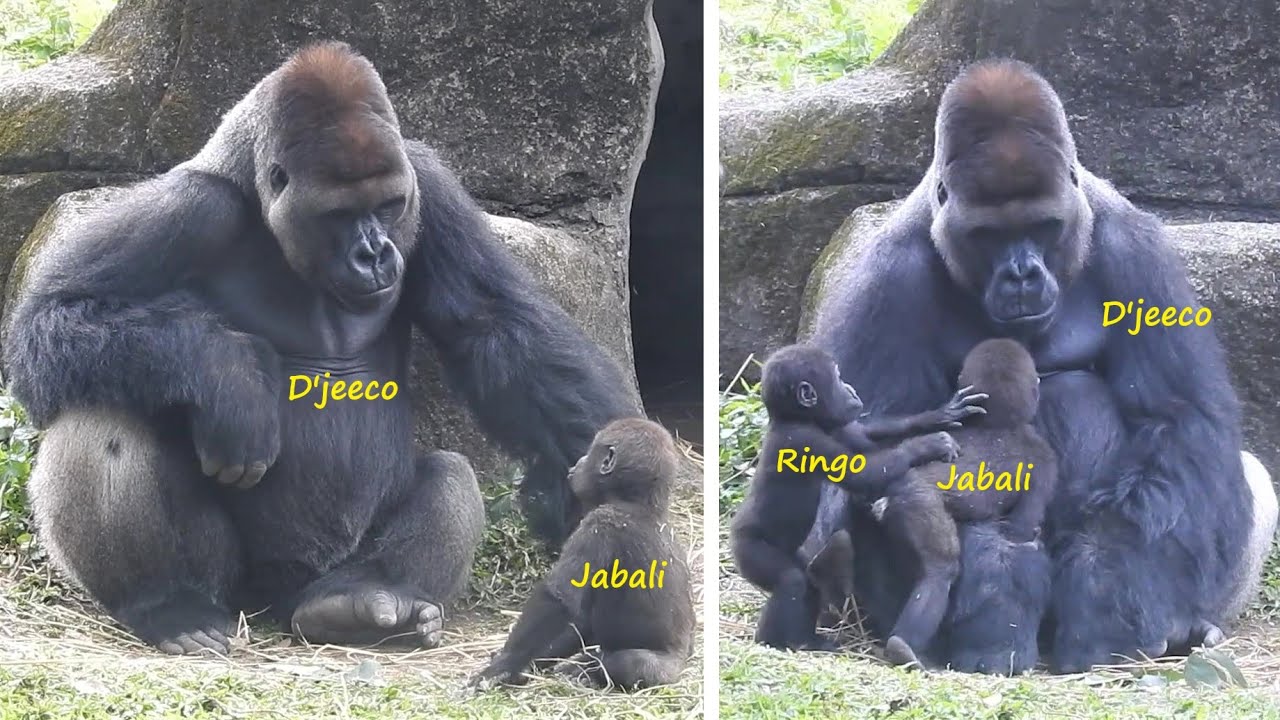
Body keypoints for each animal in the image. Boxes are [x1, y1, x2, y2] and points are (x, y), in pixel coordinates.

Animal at [469, 418, 693, 691]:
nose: (578, 462)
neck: (642, 503)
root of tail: (682, 666)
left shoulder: (598, 525)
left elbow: (559, 598)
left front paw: (504, 664)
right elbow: (579, 619)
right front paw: (527, 663)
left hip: (664, 670)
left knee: (632, 663)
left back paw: (587, 670)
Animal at [729, 343, 986, 651]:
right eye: (838, 378)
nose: (851, 389)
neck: (796, 417)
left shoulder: (836, 427)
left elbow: (863, 434)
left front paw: (938, 414)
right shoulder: (806, 441)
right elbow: (863, 473)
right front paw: (926, 445)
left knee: (809, 578)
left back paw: (808, 639)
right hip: (749, 550)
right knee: (791, 580)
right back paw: (772, 640)